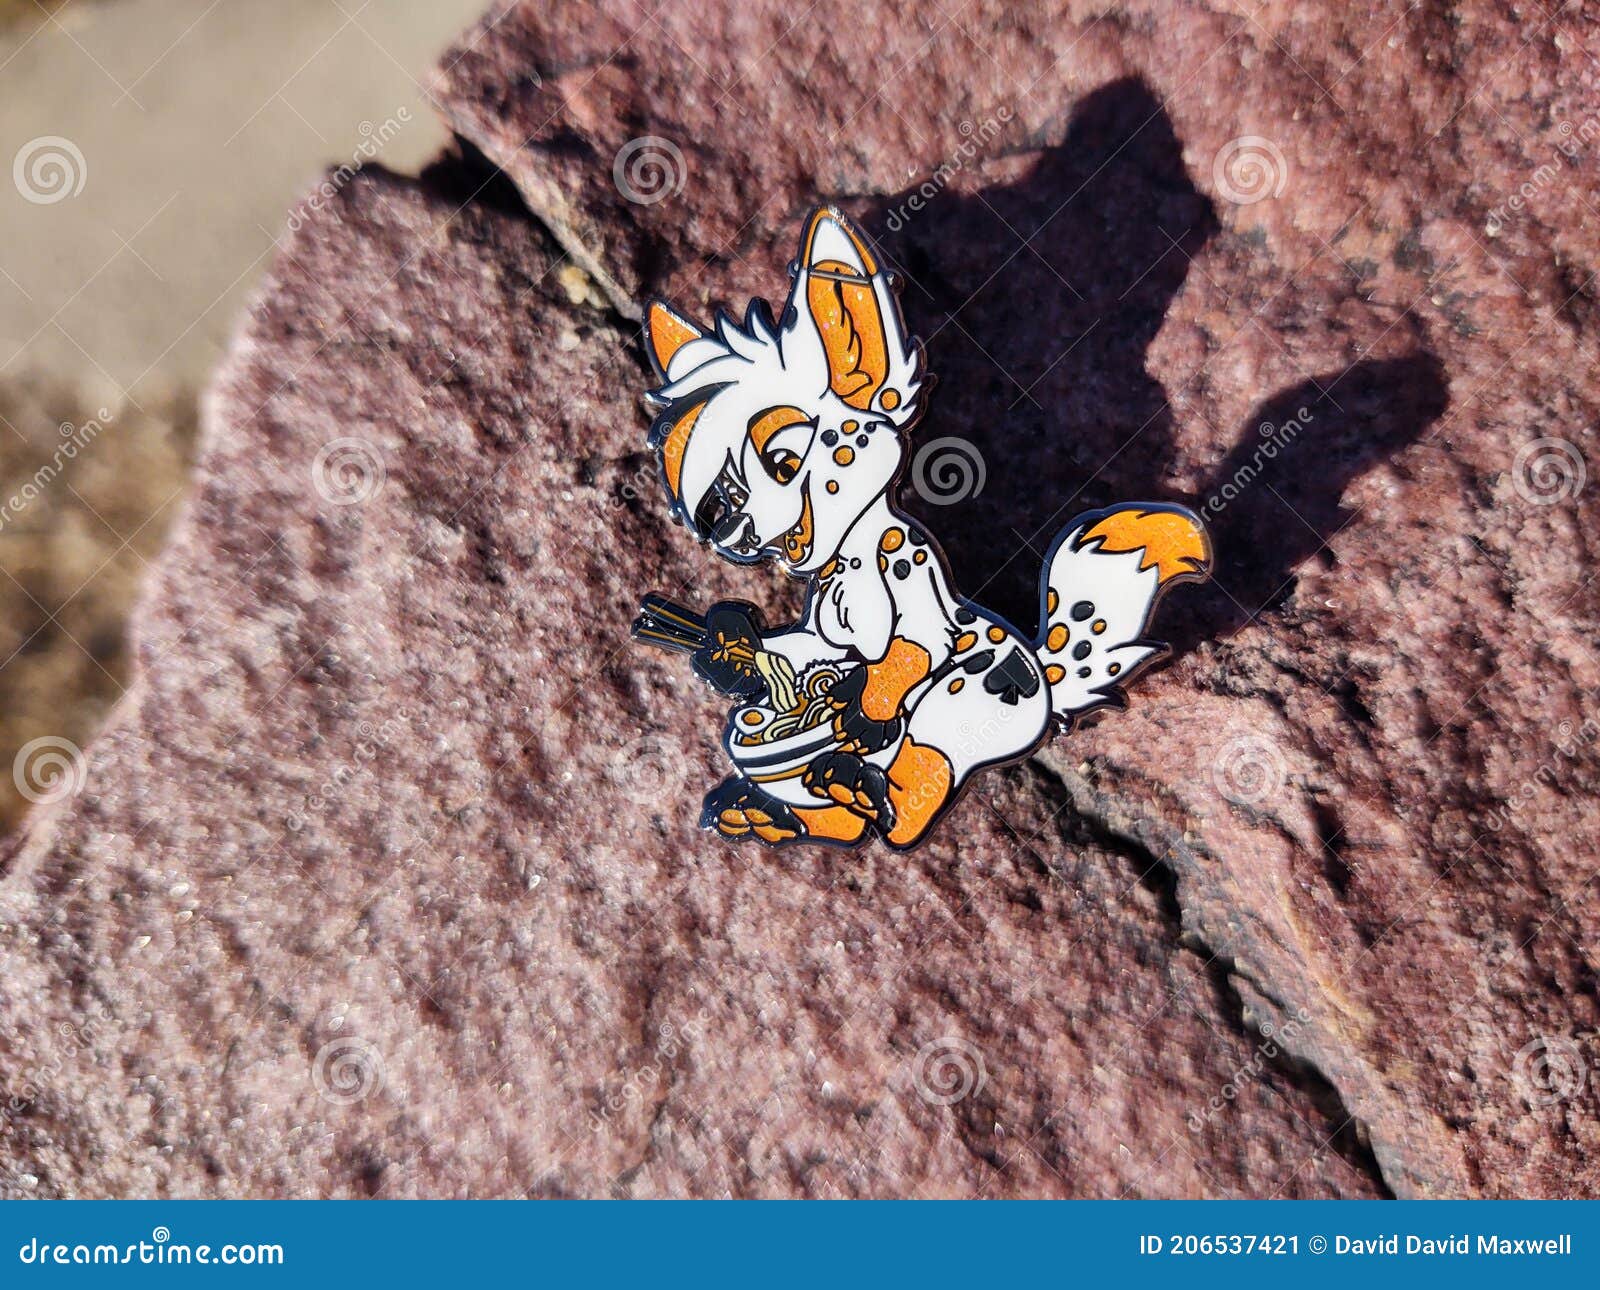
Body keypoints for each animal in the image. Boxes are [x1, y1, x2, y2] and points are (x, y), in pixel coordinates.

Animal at [632, 207, 1211, 850]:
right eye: (722, 492)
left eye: (782, 462)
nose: (726, 532)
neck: (849, 554)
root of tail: (1052, 675)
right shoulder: (819, 629)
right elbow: (803, 647)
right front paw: (728, 648)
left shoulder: (907, 567)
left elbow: (914, 647)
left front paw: (861, 711)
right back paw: (778, 813)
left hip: (978, 701)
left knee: (926, 757)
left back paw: (869, 797)